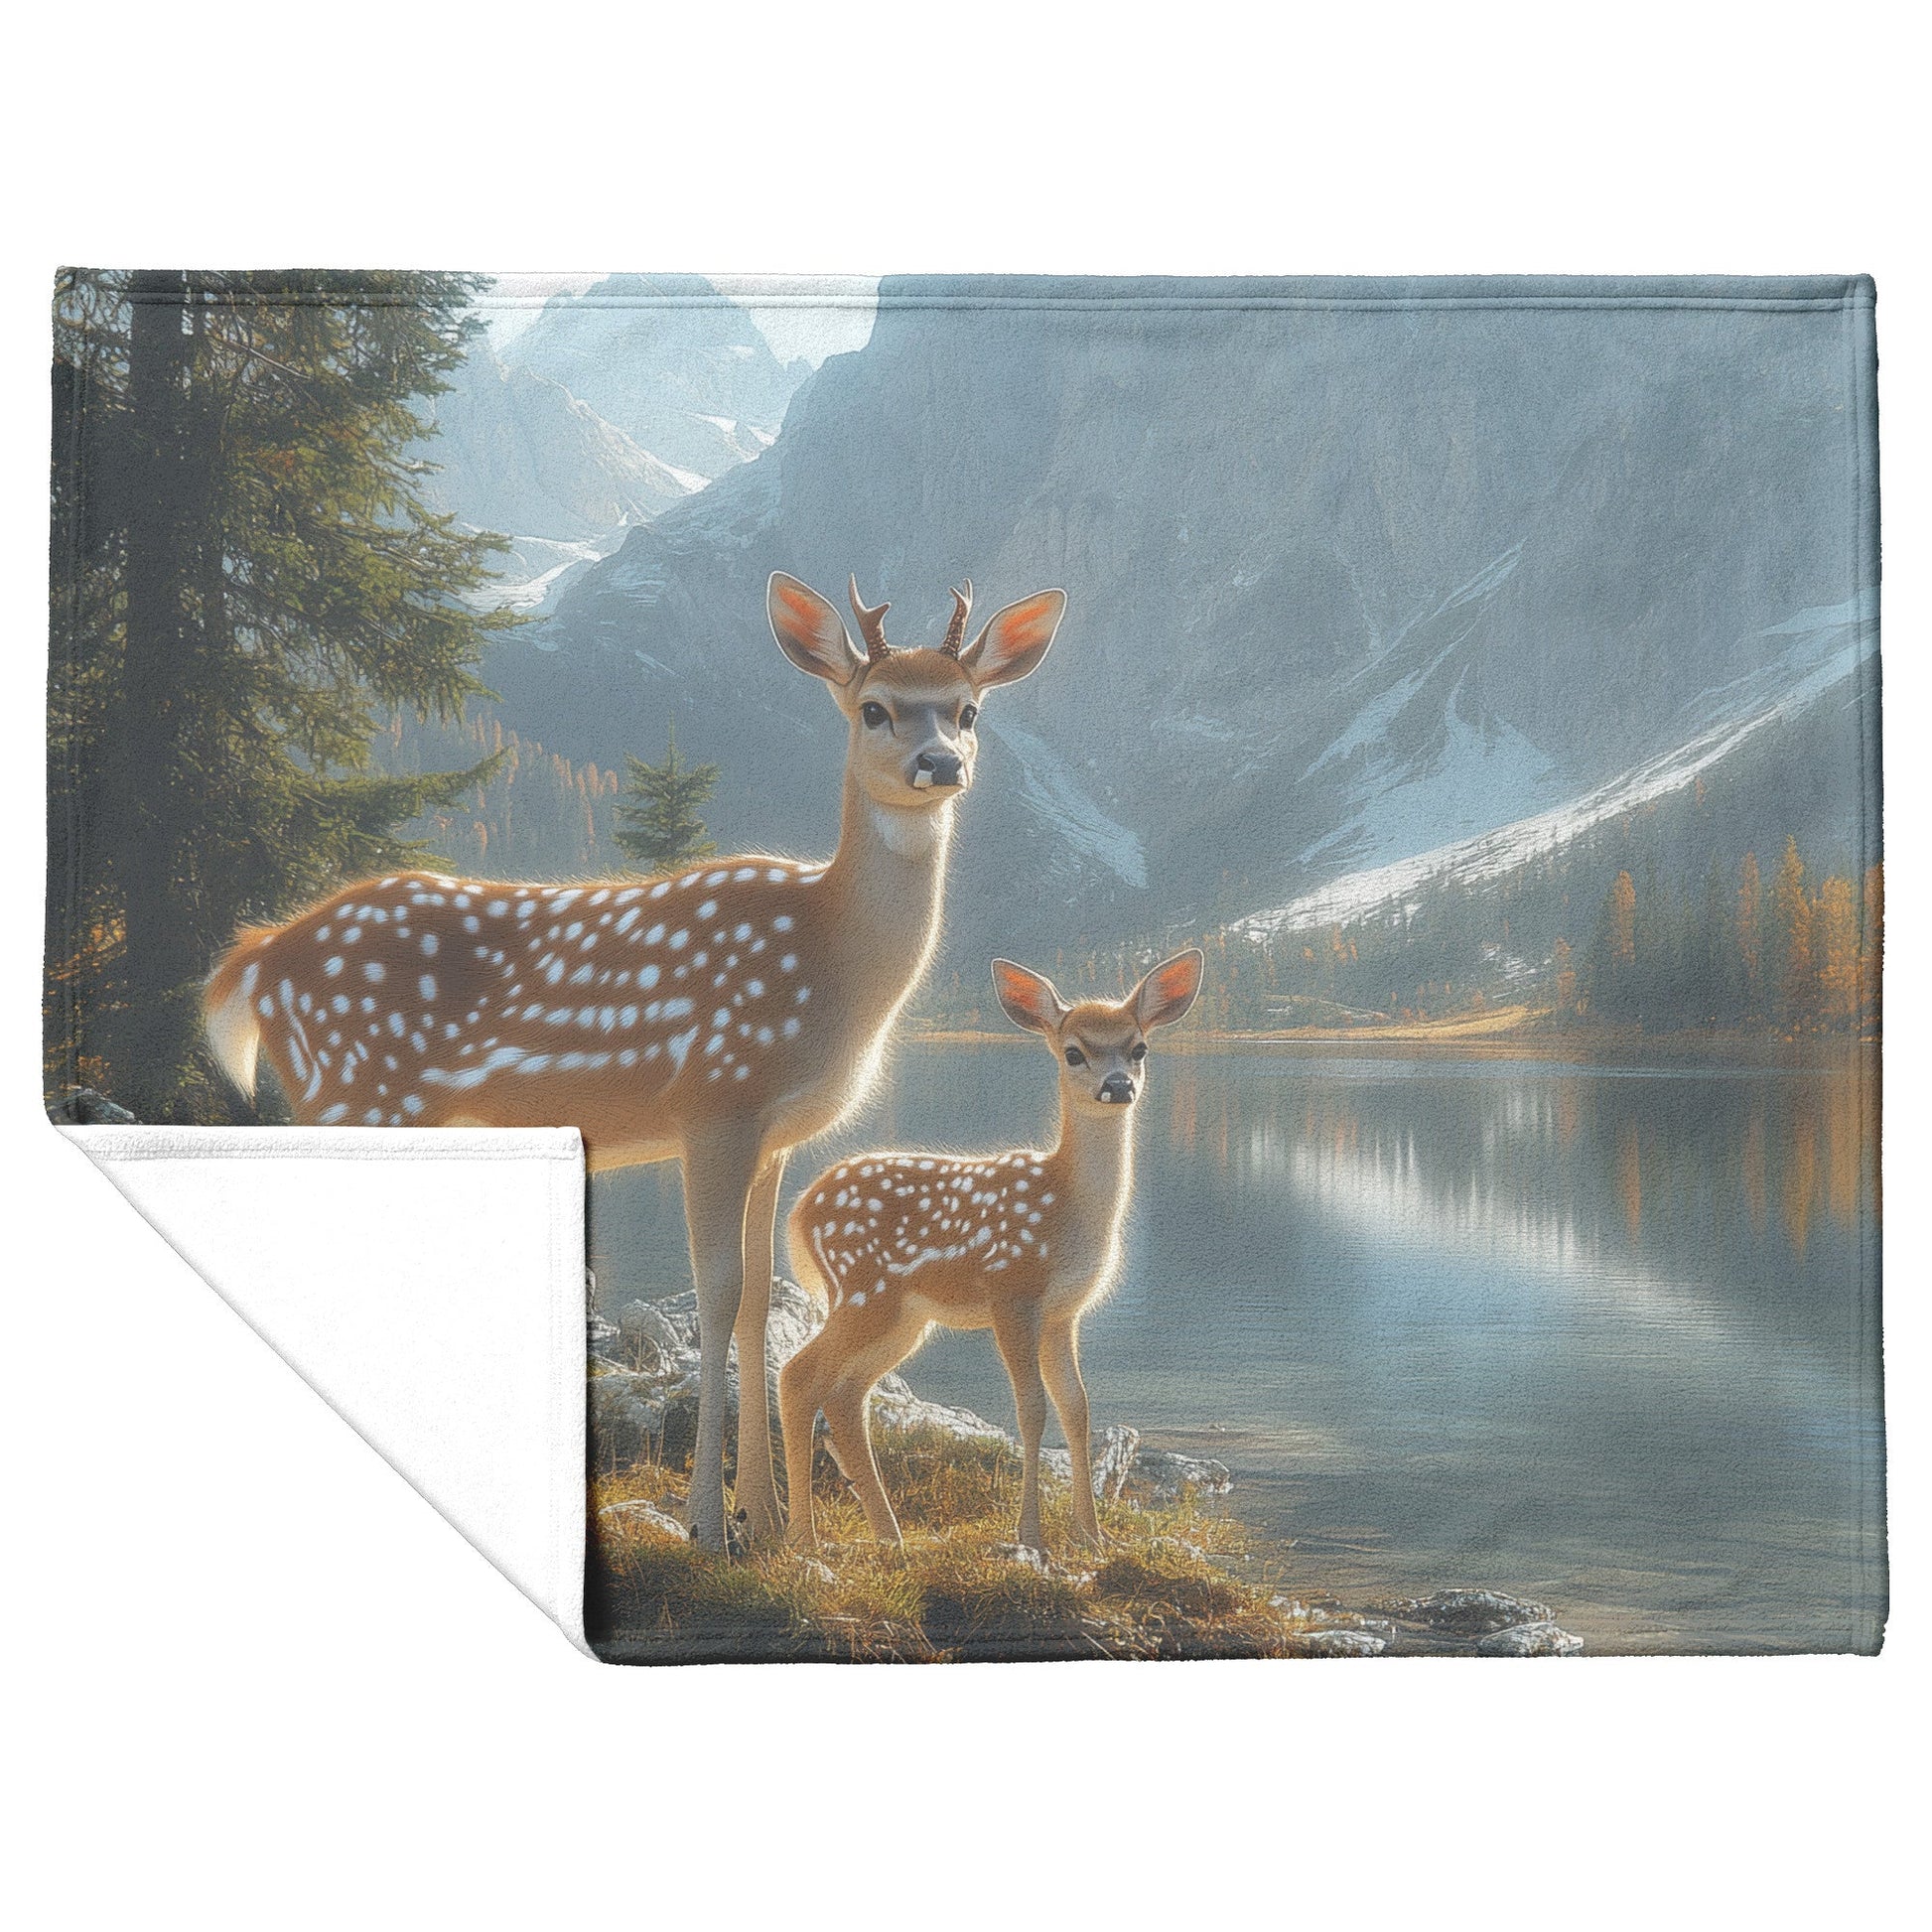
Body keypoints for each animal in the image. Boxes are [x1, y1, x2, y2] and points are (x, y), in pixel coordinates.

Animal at [201, 572, 1068, 1552]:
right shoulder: (714, 1098)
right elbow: (717, 1292)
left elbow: (759, 1305)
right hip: (352, 1087)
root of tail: (259, 956)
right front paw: (710, 1525)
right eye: (874, 707)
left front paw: (768, 1525)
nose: (940, 764)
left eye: (968, 710)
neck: (833, 962)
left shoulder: (776, 1135)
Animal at [778, 947, 1204, 1557]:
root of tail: (798, 1215)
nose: (1119, 1085)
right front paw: (1030, 1536)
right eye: (1074, 1052)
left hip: (904, 1318)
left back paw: (891, 1537)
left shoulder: (1064, 1311)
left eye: (1139, 1046)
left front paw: (1093, 1536)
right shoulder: (1011, 1292)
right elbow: (1031, 1410)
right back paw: (804, 1538)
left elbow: (1077, 1408)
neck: (1070, 1210)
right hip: (864, 1291)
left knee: (844, 1395)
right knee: (798, 1376)